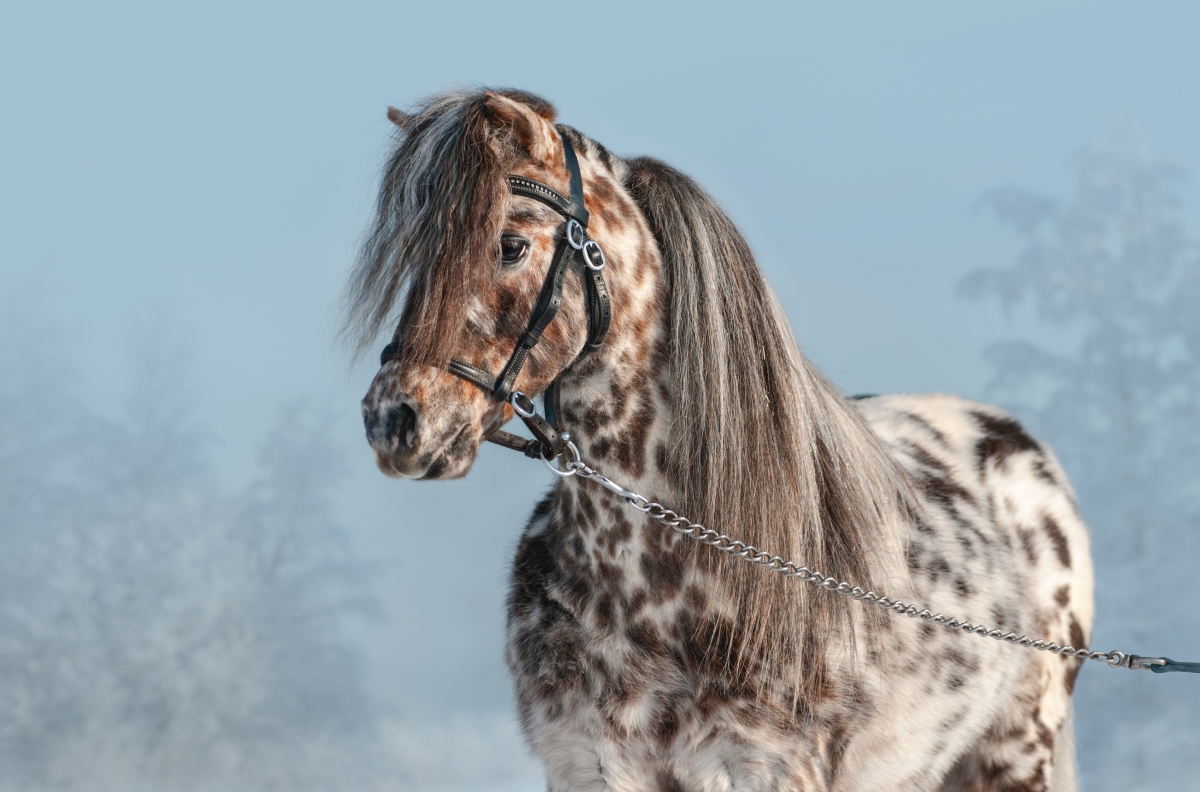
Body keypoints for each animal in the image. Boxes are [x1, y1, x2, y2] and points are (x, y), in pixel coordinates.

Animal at [344, 88, 1094, 792]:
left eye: (510, 244)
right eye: (417, 258)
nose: (394, 420)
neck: (659, 580)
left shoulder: (763, 768)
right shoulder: (589, 764)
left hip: (1011, 757)